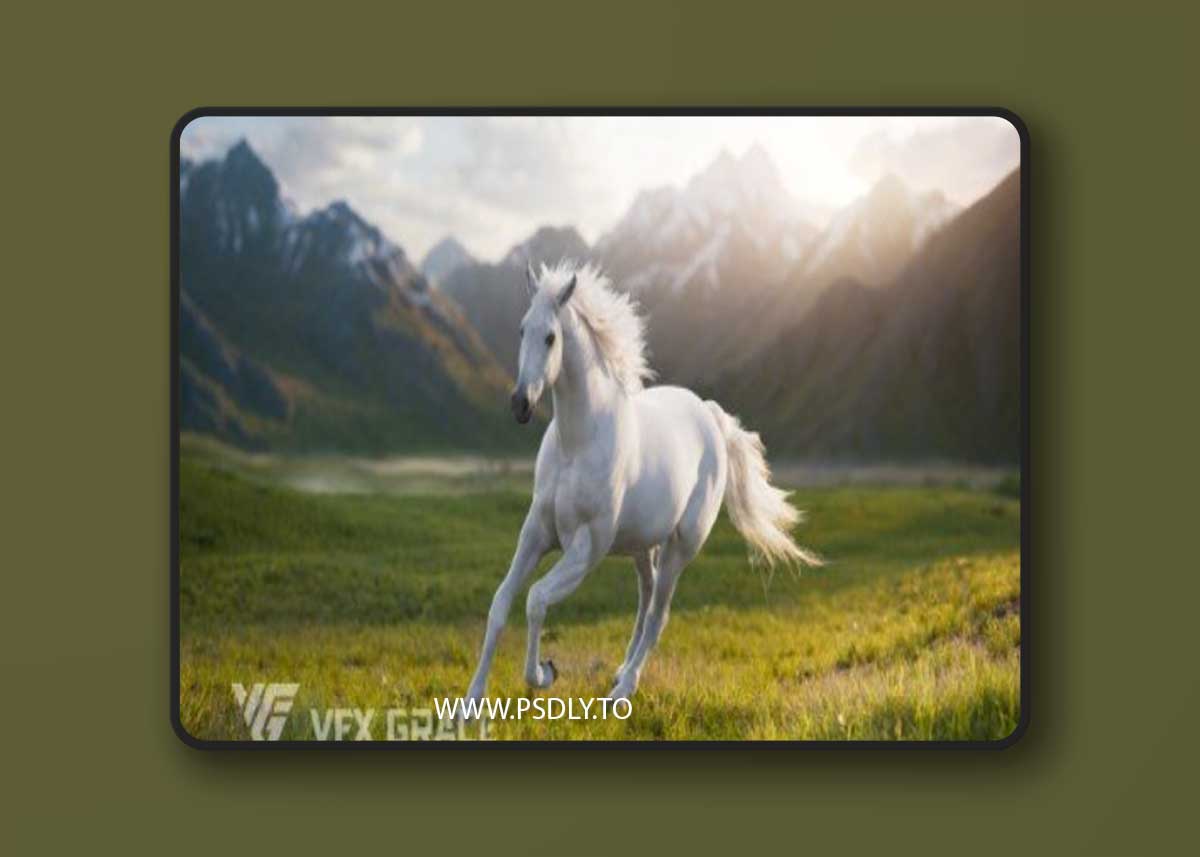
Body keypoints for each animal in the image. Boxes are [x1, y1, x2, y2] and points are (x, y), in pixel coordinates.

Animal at [464, 261, 820, 703]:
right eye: (520, 329)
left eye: (550, 337)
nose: (520, 404)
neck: (577, 444)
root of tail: (710, 415)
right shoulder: (536, 533)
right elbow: (500, 604)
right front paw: (470, 701)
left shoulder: (587, 547)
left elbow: (535, 599)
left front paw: (544, 672)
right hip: (641, 546)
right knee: (645, 600)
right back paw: (620, 671)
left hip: (680, 549)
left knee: (657, 615)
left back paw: (624, 688)